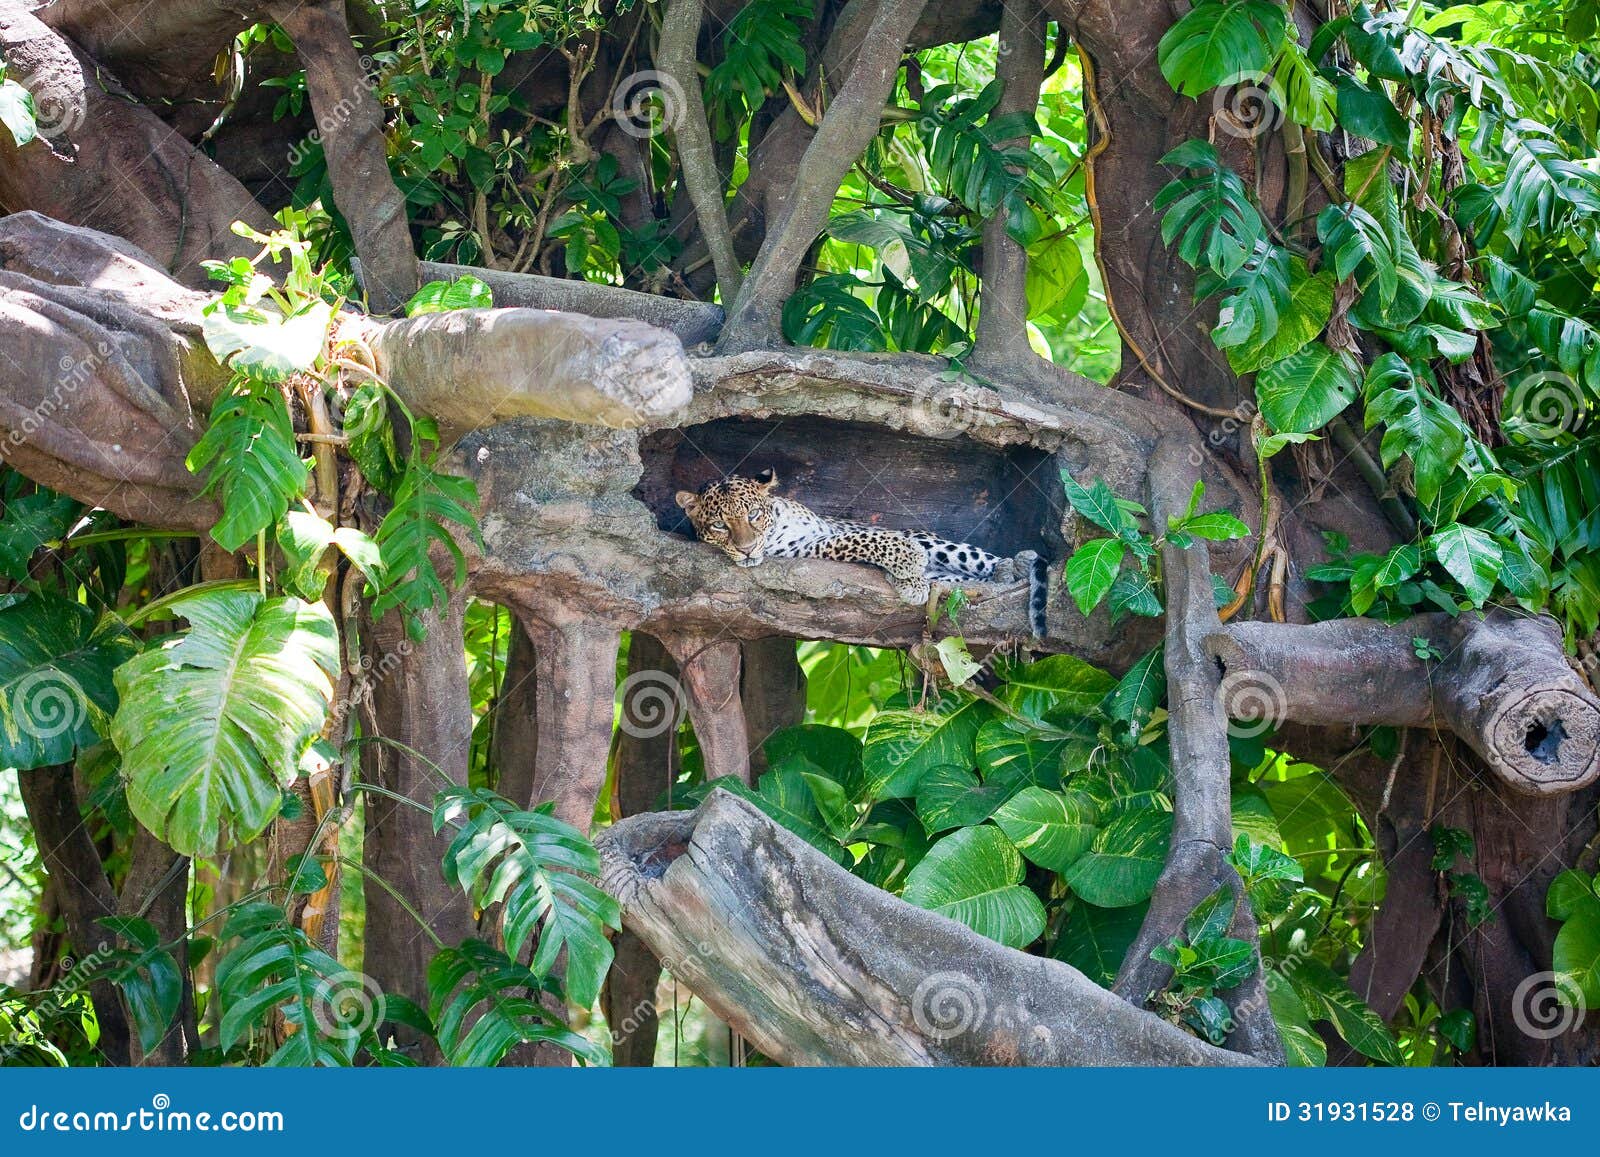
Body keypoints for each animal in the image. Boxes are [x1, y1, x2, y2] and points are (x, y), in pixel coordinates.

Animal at [675, 469, 1049, 636]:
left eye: (753, 514)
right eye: (719, 526)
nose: (747, 548)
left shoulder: (835, 528)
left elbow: (868, 535)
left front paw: (909, 568)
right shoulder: (809, 548)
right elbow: (855, 542)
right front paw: (909, 575)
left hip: (932, 538)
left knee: (969, 559)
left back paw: (1009, 567)